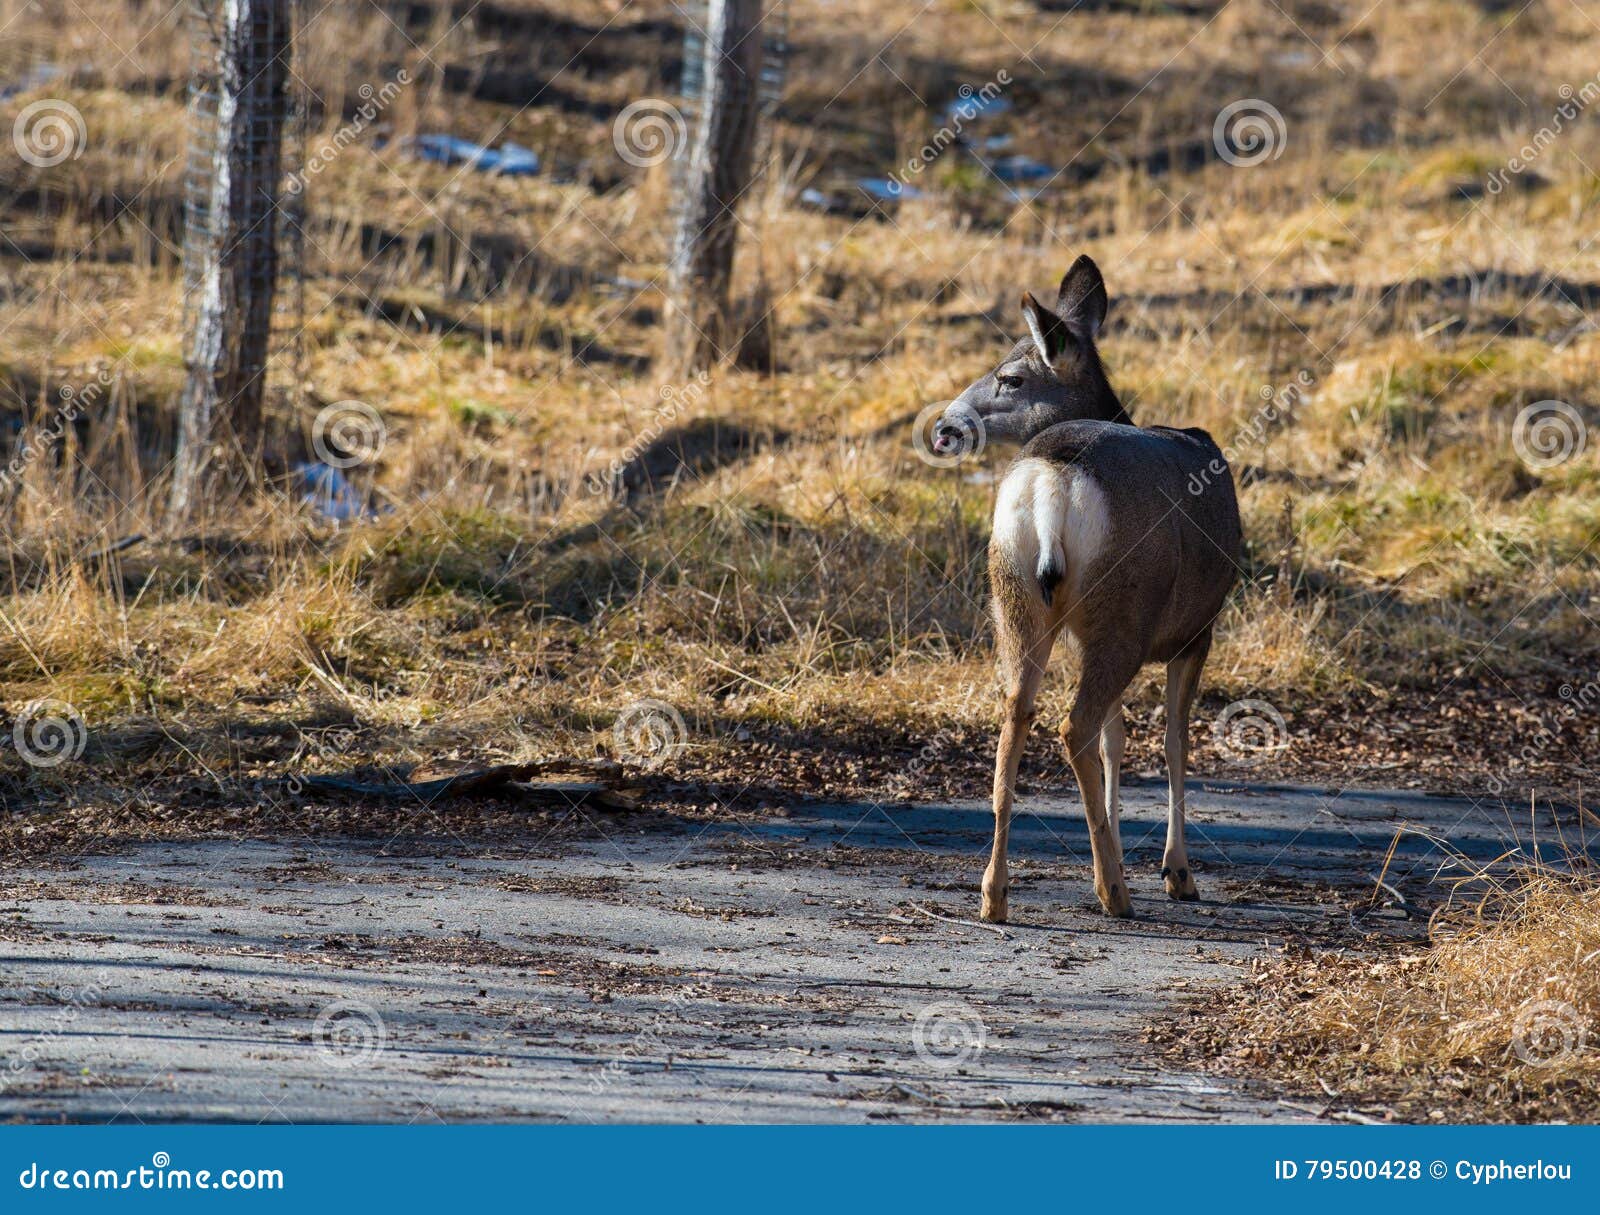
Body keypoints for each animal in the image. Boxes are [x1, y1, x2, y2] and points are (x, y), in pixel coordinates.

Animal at [930, 256, 1242, 923]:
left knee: (1016, 716)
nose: (943, 427)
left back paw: (995, 893)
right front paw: (1177, 872)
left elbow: (1116, 742)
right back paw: (1112, 891)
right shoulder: (1195, 630)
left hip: (1017, 597)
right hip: (1125, 609)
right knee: (1073, 728)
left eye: (1011, 377)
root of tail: (1053, 480)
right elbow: (1173, 744)